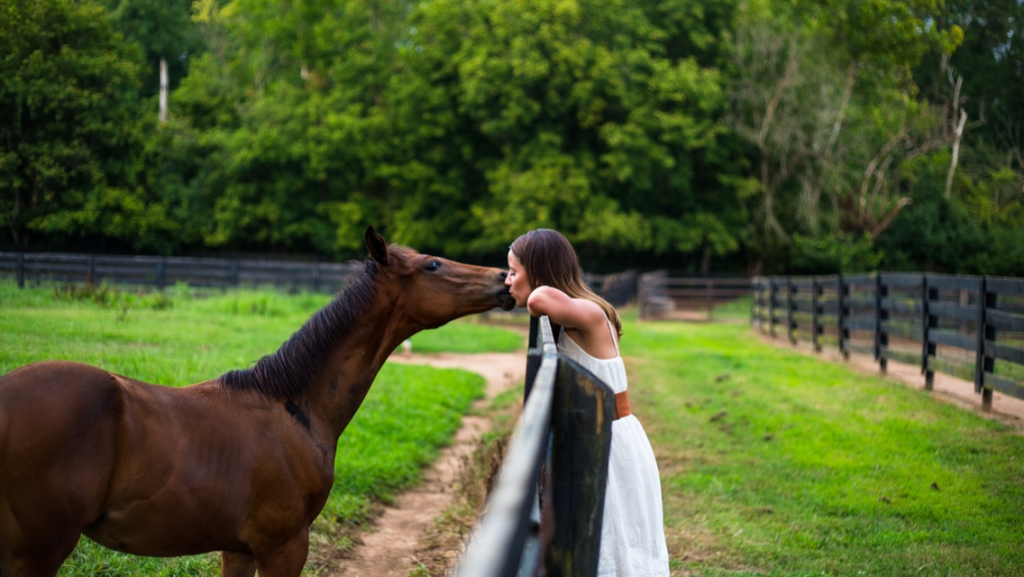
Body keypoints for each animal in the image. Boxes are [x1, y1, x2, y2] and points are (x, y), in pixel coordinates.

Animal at [0, 227, 515, 577]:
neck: (291, 405)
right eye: (432, 265)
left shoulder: (238, 549)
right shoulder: (284, 546)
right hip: (38, 551)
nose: (504, 279)